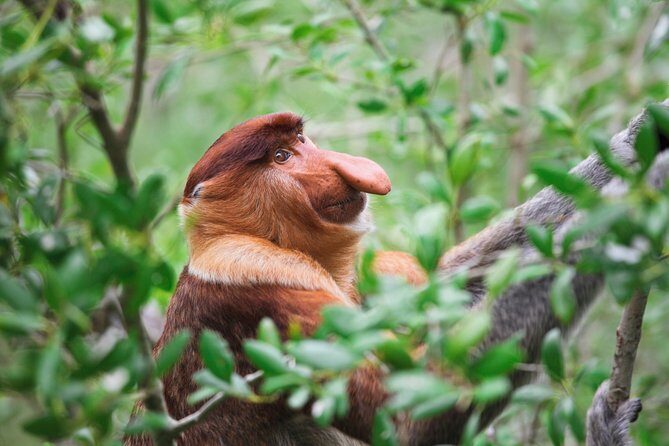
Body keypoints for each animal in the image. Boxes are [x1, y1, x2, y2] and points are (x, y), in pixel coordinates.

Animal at [125, 105, 667, 445]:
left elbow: (454, 283)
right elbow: (413, 414)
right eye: (281, 157)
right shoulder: (261, 287)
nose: (342, 165)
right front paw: (636, 198)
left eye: (301, 139)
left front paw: (640, 139)